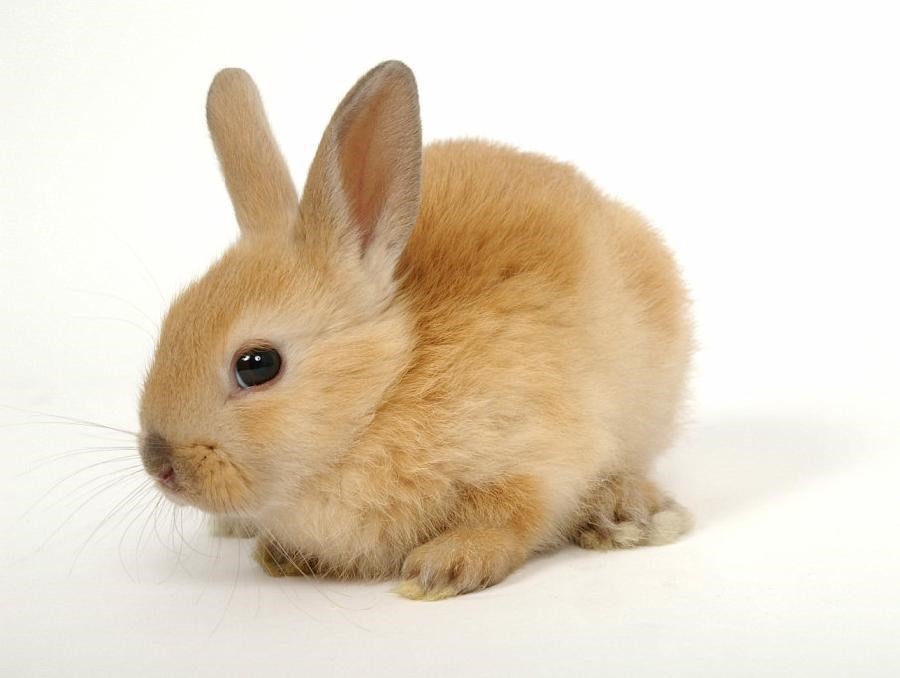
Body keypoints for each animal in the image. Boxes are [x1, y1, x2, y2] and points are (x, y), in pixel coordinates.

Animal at [138, 60, 693, 601]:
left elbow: (510, 513)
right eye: (172, 323)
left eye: (257, 365)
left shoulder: (536, 449)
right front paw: (279, 553)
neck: (387, 389)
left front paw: (444, 568)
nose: (158, 464)